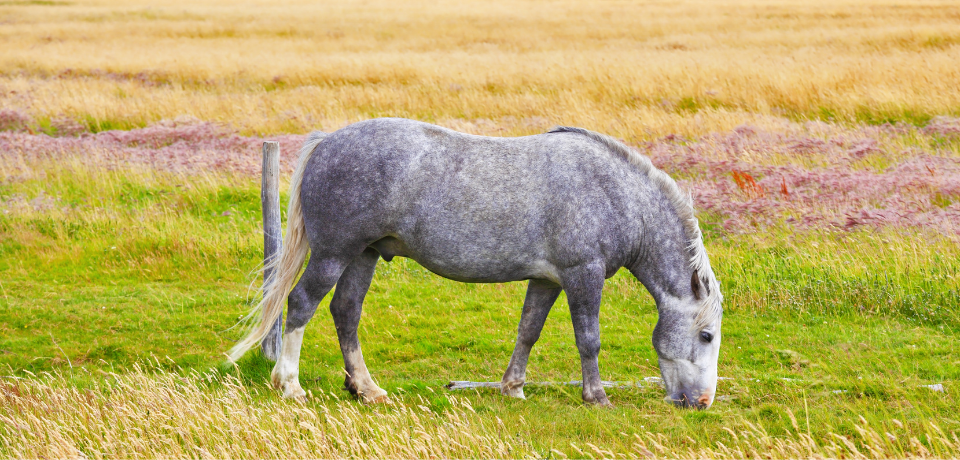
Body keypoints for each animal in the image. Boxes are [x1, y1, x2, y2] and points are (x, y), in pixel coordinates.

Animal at [229, 118, 723, 409]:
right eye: (706, 335)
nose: (701, 402)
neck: (614, 194)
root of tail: (327, 141)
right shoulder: (584, 274)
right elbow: (589, 340)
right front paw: (596, 397)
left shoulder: (548, 280)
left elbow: (528, 331)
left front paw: (513, 387)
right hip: (334, 254)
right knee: (301, 304)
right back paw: (290, 384)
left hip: (363, 256)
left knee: (345, 312)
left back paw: (365, 389)